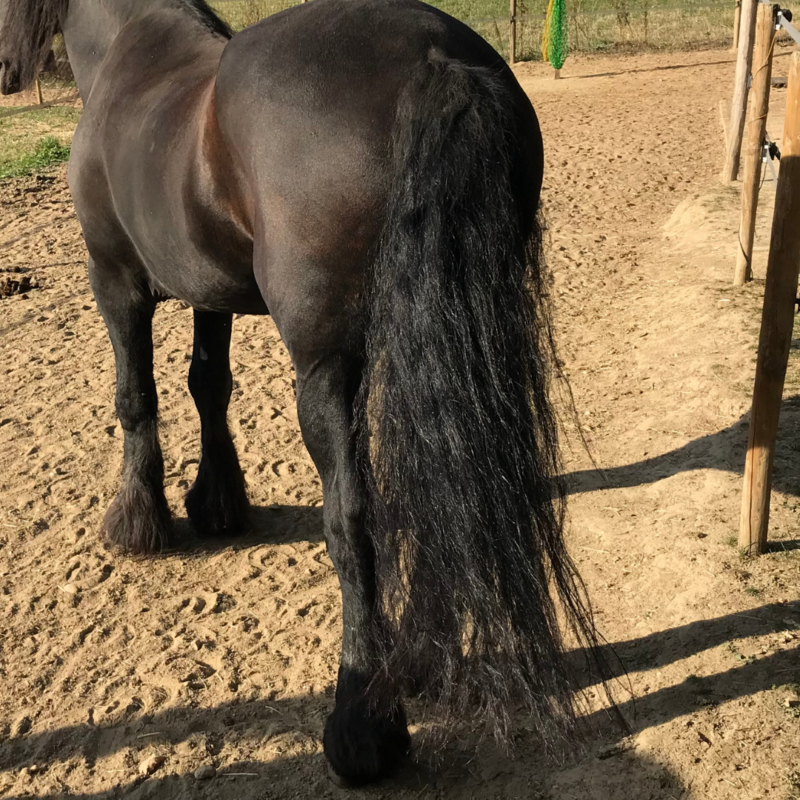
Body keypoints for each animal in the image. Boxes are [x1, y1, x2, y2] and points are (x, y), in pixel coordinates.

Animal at [0, 0, 609, 785]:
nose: (6, 70)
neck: (129, 58)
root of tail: (436, 57)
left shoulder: (115, 282)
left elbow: (136, 400)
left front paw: (138, 520)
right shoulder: (210, 289)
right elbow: (208, 385)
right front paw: (217, 503)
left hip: (327, 367)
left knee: (354, 522)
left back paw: (363, 724)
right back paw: (421, 661)